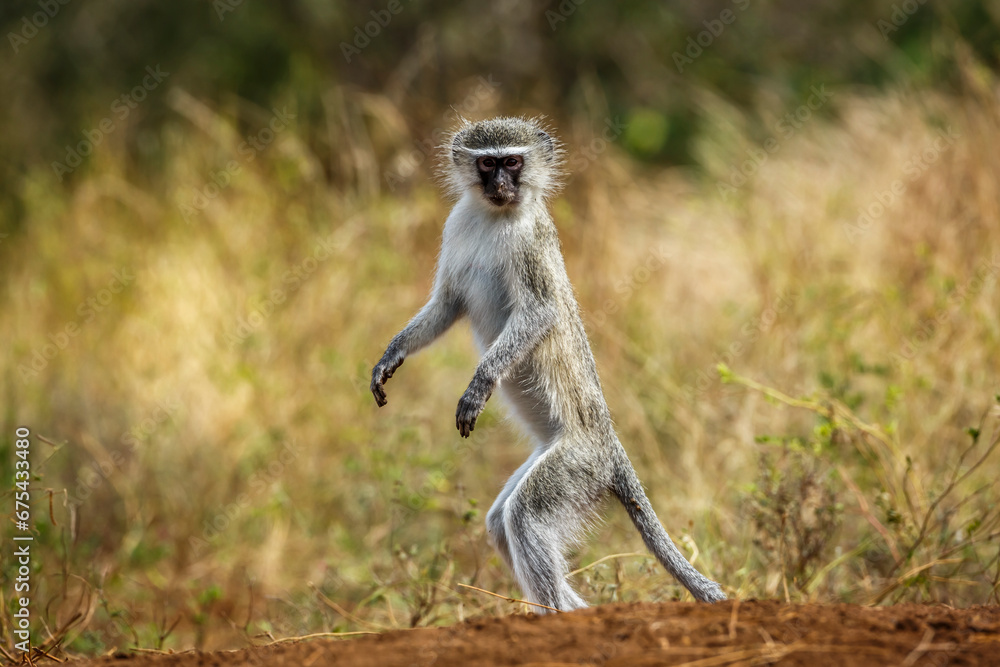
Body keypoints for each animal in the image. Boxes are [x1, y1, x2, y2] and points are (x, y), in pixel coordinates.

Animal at [371, 116, 726, 611]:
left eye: (513, 162)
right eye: (487, 164)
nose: (501, 186)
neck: (494, 217)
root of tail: (607, 444)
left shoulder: (530, 244)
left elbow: (539, 312)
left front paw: (479, 384)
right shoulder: (455, 224)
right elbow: (446, 304)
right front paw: (391, 356)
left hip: (576, 465)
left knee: (523, 515)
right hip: (554, 457)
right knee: (501, 521)